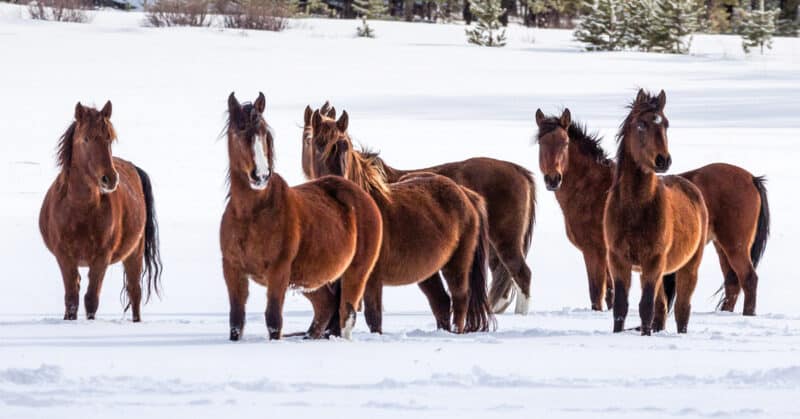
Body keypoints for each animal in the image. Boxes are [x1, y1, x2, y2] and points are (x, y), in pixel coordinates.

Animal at [39, 101, 162, 322]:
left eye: (109, 138)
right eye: (86, 138)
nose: (110, 179)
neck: (79, 211)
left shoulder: (101, 257)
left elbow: (91, 300)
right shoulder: (64, 256)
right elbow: (71, 299)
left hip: (134, 253)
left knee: (135, 291)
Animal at [220, 93, 383, 341]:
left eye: (265, 134)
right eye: (239, 131)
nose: (260, 176)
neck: (252, 214)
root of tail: (363, 196)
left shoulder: (278, 273)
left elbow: (273, 321)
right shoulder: (232, 271)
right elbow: (236, 322)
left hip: (355, 274)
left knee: (346, 315)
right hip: (311, 281)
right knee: (325, 308)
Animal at [302, 102, 536, 315]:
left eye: (345, 145)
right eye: (316, 142)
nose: (337, 179)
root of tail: (519, 170)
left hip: (506, 241)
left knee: (521, 275)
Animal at [535, 107, 769, 316]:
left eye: (565, 142)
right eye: (541, 142)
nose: (553, 179)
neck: (595, 188)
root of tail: (751, 178)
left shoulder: (594, 252)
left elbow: (596, 293)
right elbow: (610, 294)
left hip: (735, 245)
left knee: (749, 280)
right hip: (722, 246)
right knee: (732, 284)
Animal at [604, 89, 708, 335]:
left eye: (666, 124)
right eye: (641, 124)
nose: (663, 160)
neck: (635, 208)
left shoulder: (653, 261)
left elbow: (646, 307)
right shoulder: (617, 260)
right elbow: (621, 307)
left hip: (688, 266)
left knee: (682, 309)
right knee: (662, 309)